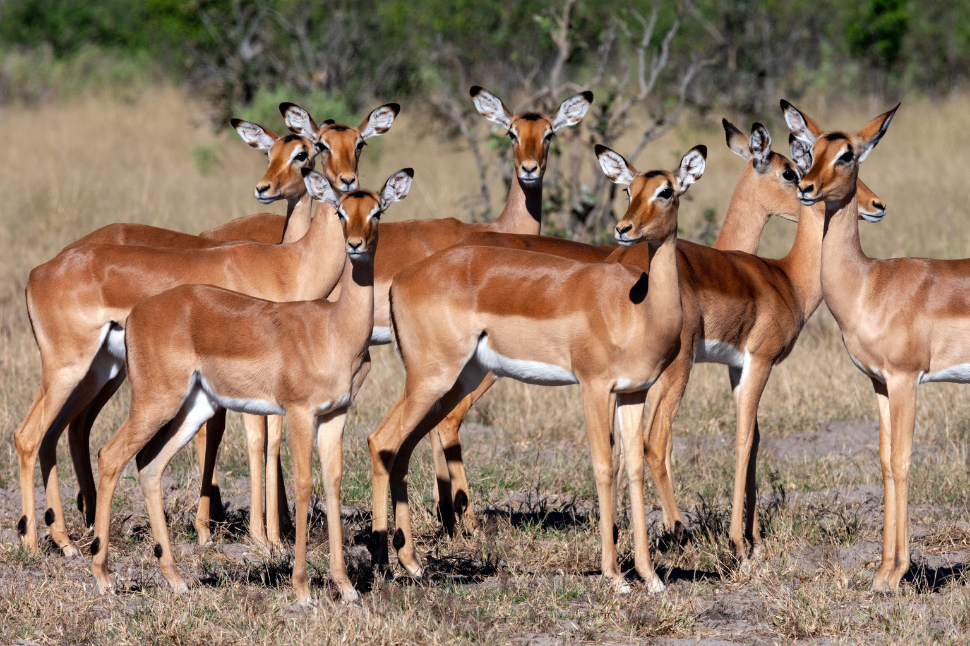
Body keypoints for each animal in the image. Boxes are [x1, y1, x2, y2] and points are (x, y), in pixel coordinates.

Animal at [49, 103, 398, 547]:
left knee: (70, 429)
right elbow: (260, 440)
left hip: (105, 373)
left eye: (359, 143)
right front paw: (265, 537)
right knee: (38, 434)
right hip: (80, 372)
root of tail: (46, 269)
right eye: (317, 146)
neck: (288, 264)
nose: (346, 181)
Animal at [90, 168, 411, 604]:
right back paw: (104, 577)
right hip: (155, 401)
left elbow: (333, 483)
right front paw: (302, 587)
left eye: (376, 212)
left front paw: (345, 586)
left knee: (149, 465)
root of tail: (138, 313)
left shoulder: (336, 414)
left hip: (195, 407)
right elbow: (304, 484)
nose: (355, 245)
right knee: (110, 456)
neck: (334, 330)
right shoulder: (299, 412)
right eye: (341, 212)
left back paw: (176, 579)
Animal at [367, 146, 706, 593]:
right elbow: (605, 467)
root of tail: (402, 279)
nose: (624, 228)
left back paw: (412, 563)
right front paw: (615, 575)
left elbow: (633, 468)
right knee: (381, 439)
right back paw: (381, 563)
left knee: (402, 447)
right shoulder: (594, 387)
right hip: (432, 378)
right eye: (629, 188)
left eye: (665, 191)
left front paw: (650, 577)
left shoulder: (633, 392)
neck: (637, 310)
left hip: (456, 382)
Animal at [427, 122, 888, 536]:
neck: (781, 277)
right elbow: (701, 443)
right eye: (791, 171)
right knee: (449, 422)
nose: (874, 205)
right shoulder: (727, 364)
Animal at [784, 101, 937, 593]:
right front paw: (883, 572)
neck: (871, 284)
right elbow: (886, 462)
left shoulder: (907, 380)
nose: (807, 189)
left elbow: (904, 462)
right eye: (810, 152)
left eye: (848, 154)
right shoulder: (881, 383)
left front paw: (898, 573)